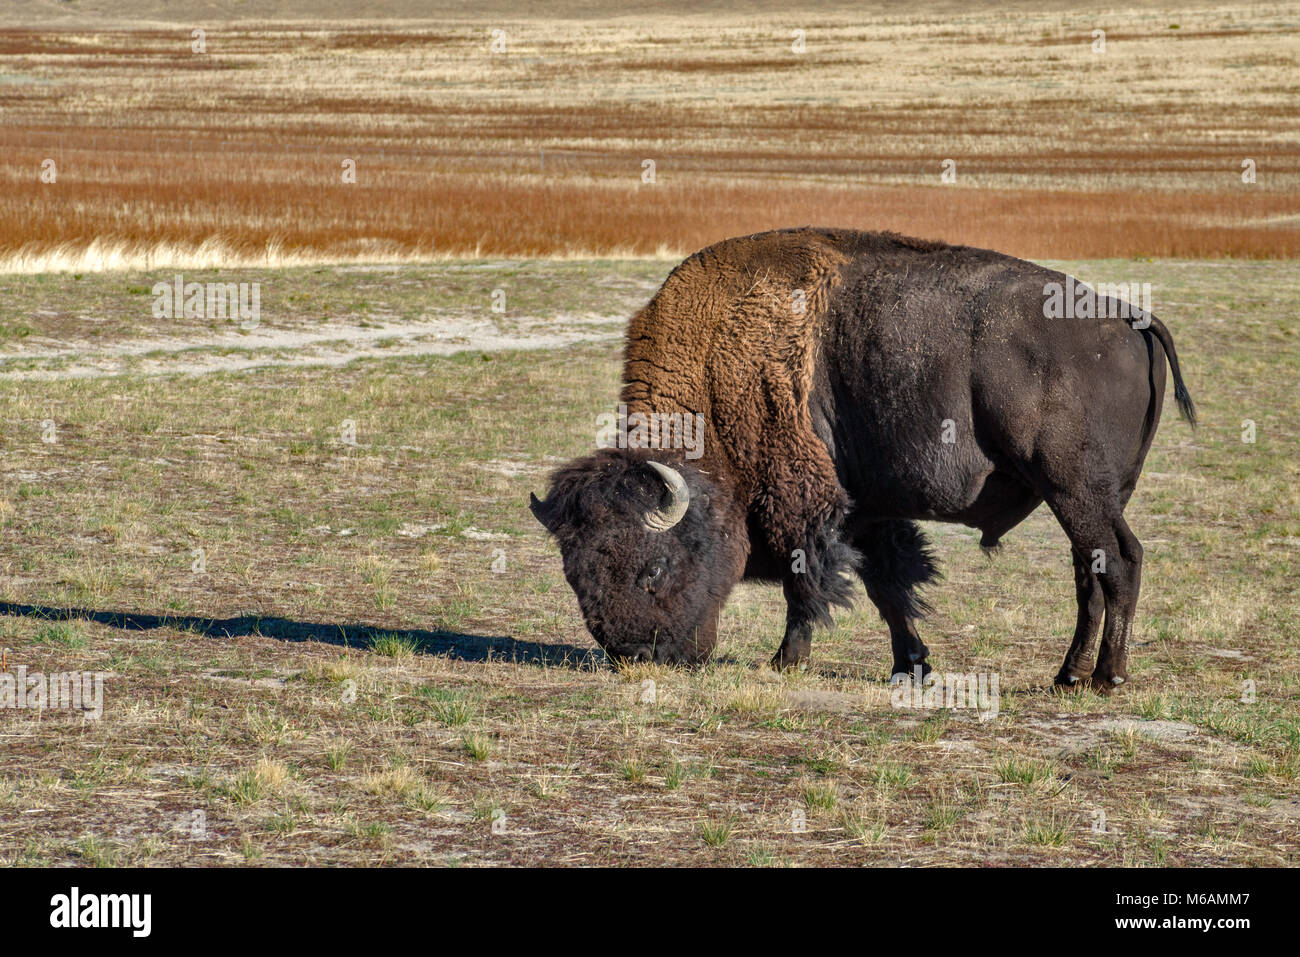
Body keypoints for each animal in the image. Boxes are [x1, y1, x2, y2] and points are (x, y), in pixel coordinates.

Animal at [530, 228, 1195, 692]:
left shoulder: (802, 501)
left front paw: (783, 662)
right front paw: (912, 666)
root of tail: (1128, 316)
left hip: (1075, 489)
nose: (639, 657)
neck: (719, 373)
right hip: (1090, 496)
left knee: (1120, 562)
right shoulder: (869, 509)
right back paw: (1070, 674)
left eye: (655, 568)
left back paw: (1104, 677)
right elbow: (888, 586)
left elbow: (808, 581)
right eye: (574, 577)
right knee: (1090, 569)